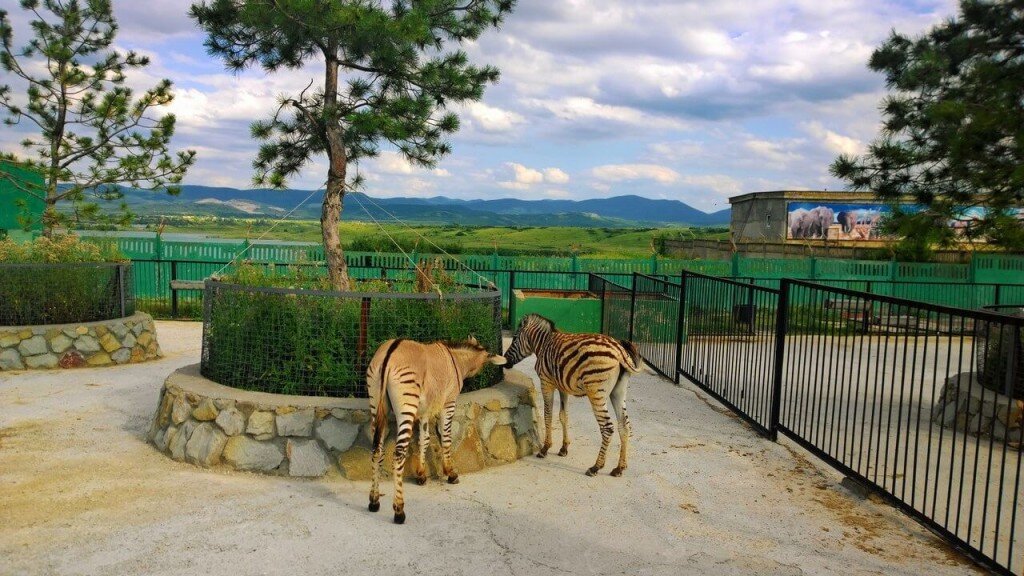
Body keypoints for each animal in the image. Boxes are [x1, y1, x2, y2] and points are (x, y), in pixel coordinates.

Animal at [366, 334, 505, 522]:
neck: (456, 361)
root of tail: (390, 352)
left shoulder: (424, 410)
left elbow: (423, 440)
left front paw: (421, 475)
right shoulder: (449, 403)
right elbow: (446, 438)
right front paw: (451, 473)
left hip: (377, 406)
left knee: (376, 450)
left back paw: (374, 501)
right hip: (406, 407)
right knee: (398, 454)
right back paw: (399, 511)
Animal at [501, 313, 638, 475]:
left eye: (515, 338)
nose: (505, 362)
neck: (543, 344)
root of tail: (619, 350)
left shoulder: (546, 383)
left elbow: (548, 415)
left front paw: (545, 448)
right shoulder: (563, 387)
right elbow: (563, 416)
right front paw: (564, 448)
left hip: (596, 393)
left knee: (607, 427)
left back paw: (596, 466)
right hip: (618, 392)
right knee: (624, 425)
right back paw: (619, 467)